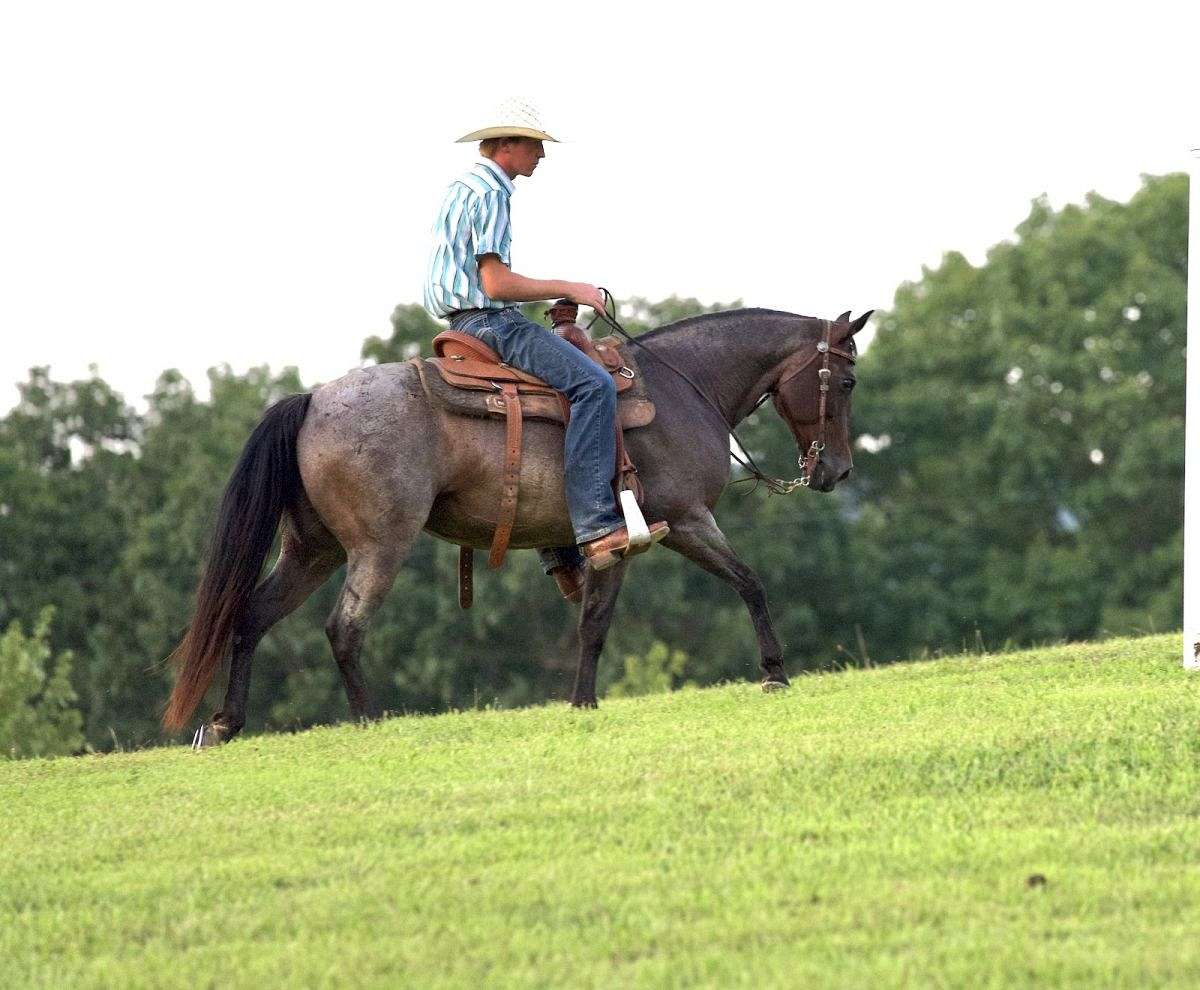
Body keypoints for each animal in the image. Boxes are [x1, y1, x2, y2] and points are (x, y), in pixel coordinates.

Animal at [162, 307, 871, 745]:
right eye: (848, 380)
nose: (837, 469)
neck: (683, 389)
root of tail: (312, 399)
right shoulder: (687, 519)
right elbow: (748, 581)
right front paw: (775, 671)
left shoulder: (619, 544)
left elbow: (594, 624)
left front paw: (582, 702)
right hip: (378, 545)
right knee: (345, 627)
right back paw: (369, 721)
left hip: (313, 549)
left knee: (251, 616)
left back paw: (224, 723)